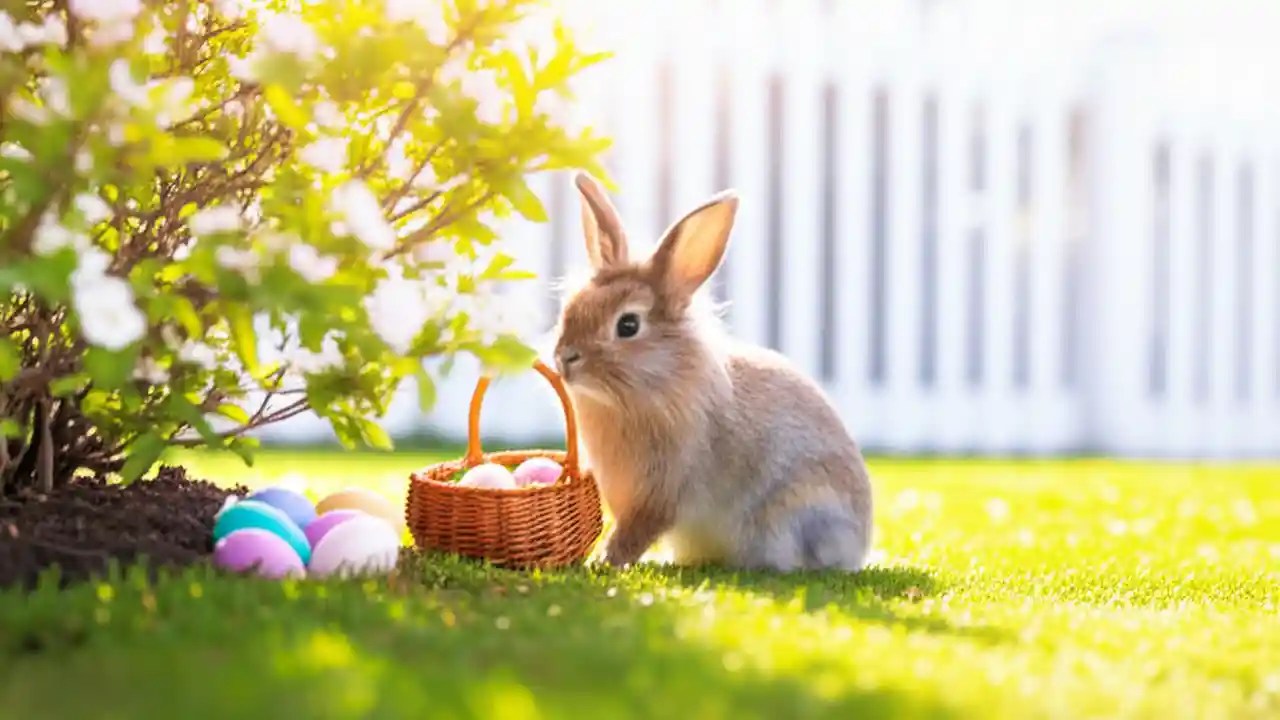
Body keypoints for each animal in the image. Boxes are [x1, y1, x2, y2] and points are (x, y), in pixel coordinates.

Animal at [551, 171, 874, 572]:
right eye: (570, 308)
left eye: (628, 325)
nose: (564, 358)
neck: (655, 386)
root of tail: (858, 546)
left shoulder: (662, 493)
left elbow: (634, 533)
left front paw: (605, 563)